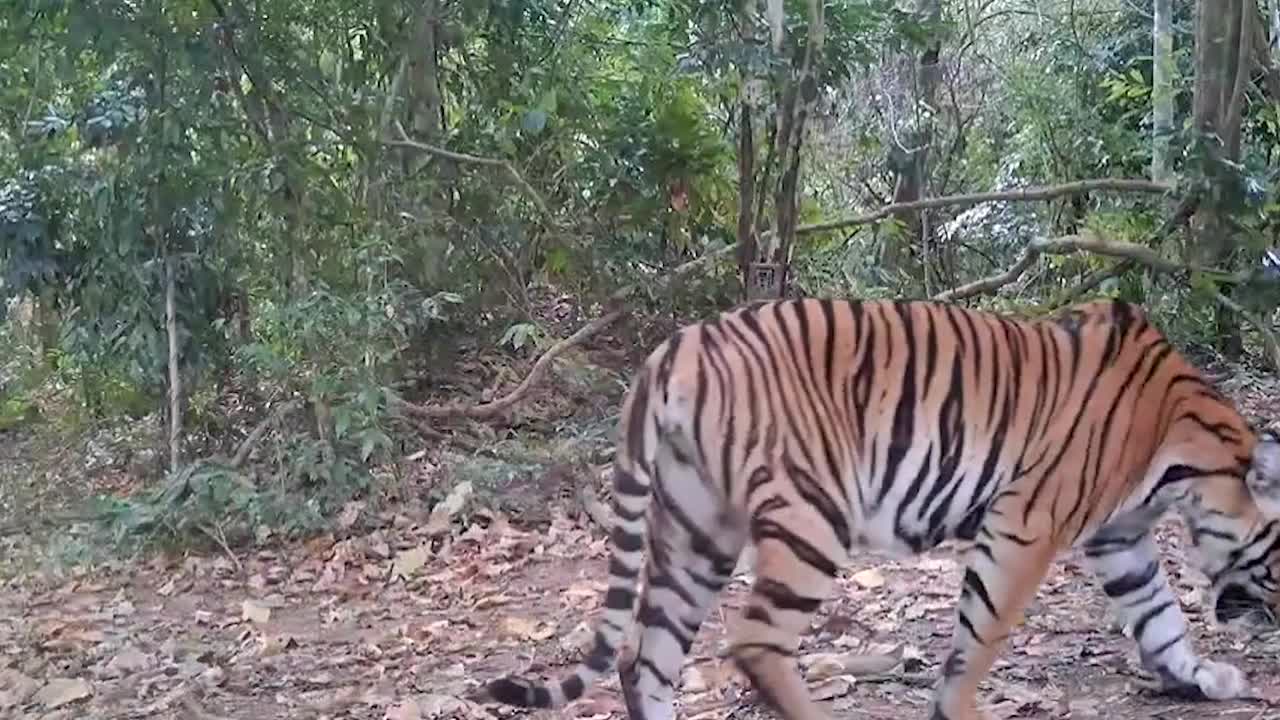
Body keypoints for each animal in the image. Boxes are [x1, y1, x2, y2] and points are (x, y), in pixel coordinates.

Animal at [480, 298, 1280, 720]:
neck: (1190, 467)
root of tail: (674, 349)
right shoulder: (1026, 524)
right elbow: (980, 636)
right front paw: (958, 708)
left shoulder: (1119, 539)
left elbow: (1161, 619)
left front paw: (1209, 679)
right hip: (812, 516)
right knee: (754, 640)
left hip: (696, 533)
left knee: (645, 657)